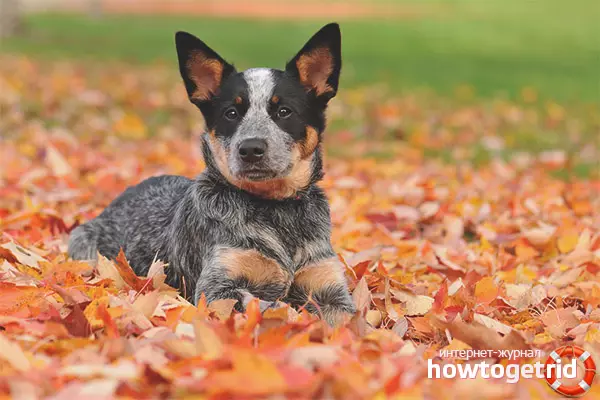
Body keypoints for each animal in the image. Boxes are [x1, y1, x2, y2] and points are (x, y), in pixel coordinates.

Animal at [68, 22, 356, 324]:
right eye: (231, 113)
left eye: (284, 111)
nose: (250, 148)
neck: (276, 210)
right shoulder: (217, 289)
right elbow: (269, 305)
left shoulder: (330, 289)